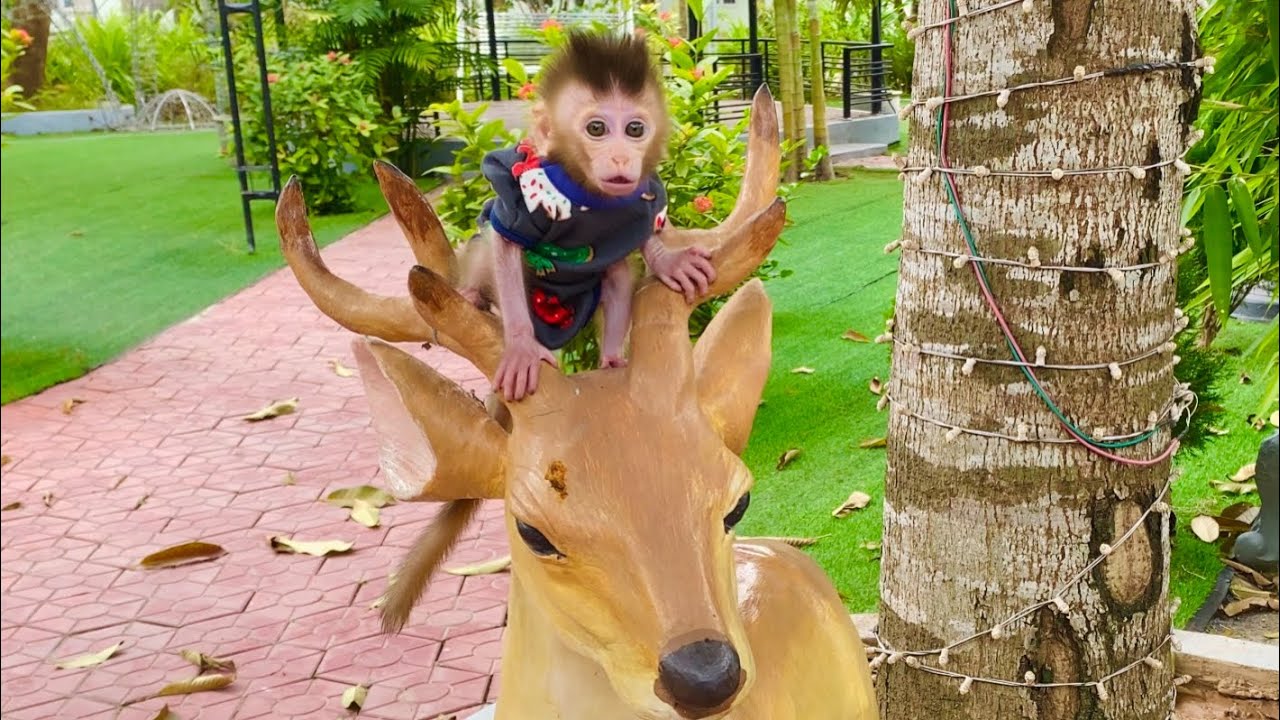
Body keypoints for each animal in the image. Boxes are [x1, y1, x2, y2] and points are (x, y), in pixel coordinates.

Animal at [457, 30, 717, 403]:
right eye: (596, 128)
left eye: (635, 130)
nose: (621, 158)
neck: (587, 191)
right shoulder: (520, 192)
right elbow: (505, 239)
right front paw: (521, 346)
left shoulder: (645, 190)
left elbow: (643, 231)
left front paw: (669, 261)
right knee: (488, 246)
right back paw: (472, 294)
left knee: (618, 272)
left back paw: (611, 357)